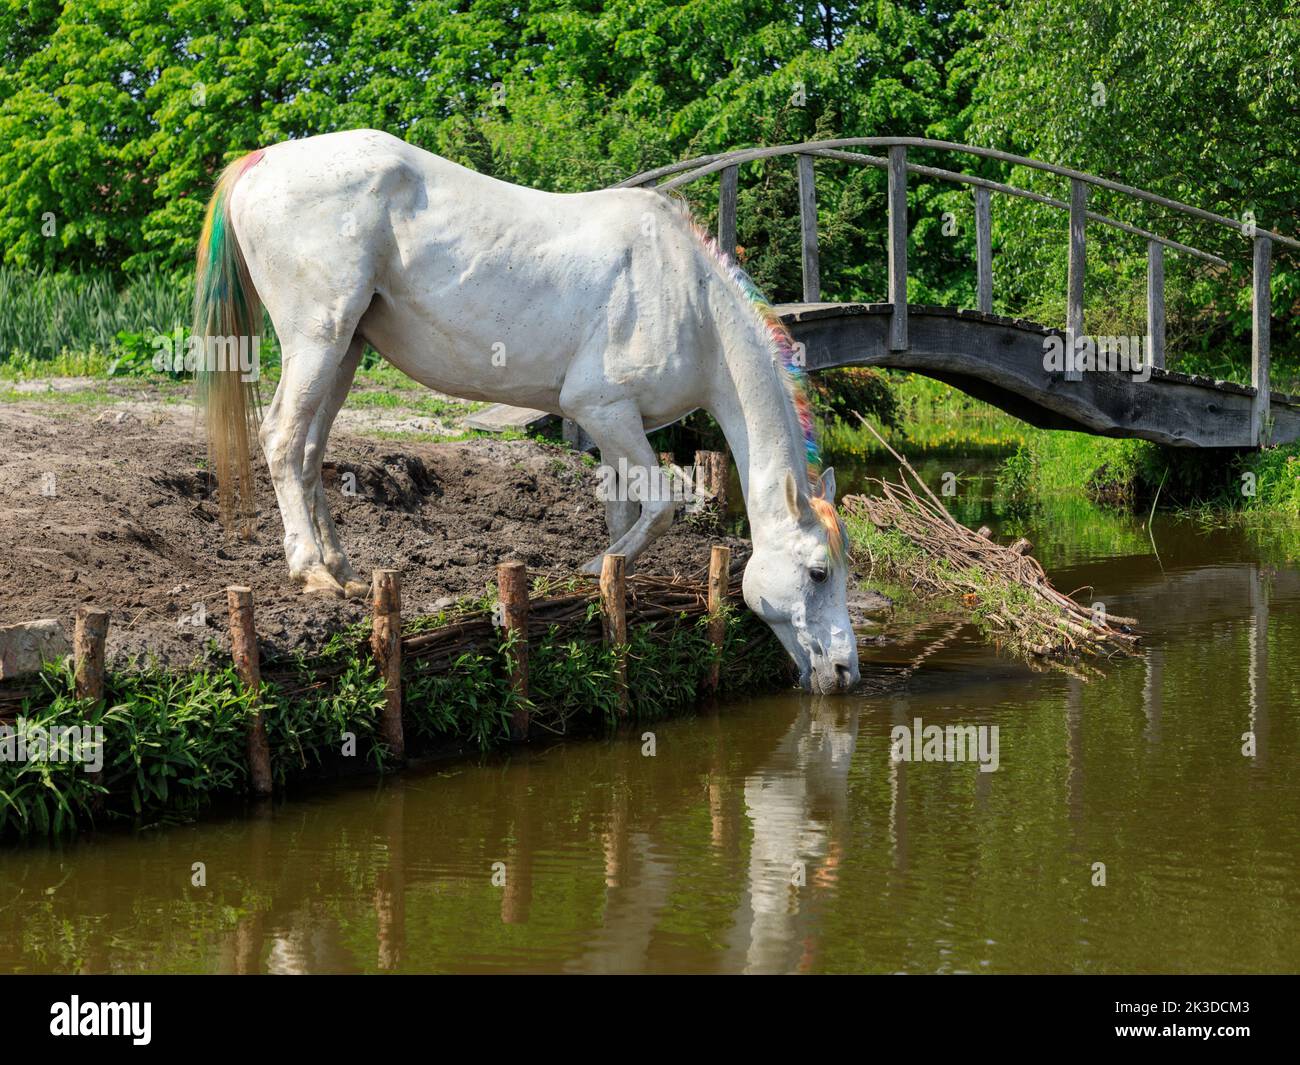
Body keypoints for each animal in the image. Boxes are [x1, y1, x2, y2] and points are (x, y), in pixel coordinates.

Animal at [193, 129, 859, 693]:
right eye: (819, 573)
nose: (847, 672)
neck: (692, 302)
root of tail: (263, 160)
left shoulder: (616, 427)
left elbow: (622, 509)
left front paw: (612, 582)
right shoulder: (603, 410)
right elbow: (662, 506)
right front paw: (593, 569)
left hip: (346, 350)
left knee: (310, 451)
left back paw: (343, 569)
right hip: (317, 339)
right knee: (282, 437)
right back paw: (309, 572)